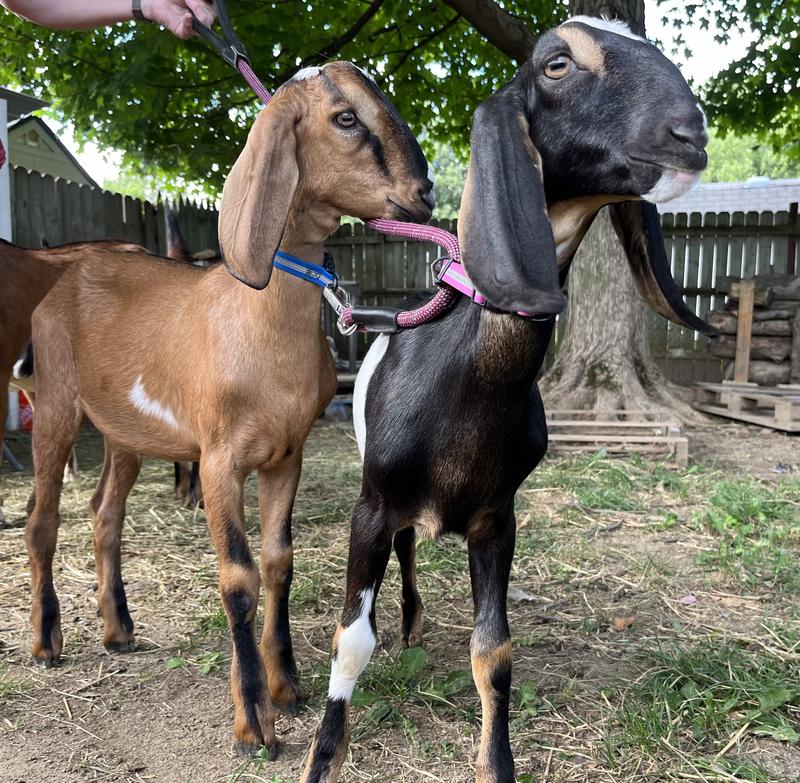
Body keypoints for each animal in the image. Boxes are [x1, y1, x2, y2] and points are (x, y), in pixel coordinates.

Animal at [25, 61, 433, 756]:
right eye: (345, 117)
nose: (425, 191)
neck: (259, 320)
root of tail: (66, 280)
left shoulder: (285, 456)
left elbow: (278, 562)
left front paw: (287, 685)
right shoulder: (219, 461)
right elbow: (239, 578)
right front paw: (253, 723)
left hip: (126, 434)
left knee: (105, 514)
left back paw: (118, 629)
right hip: (55, 405)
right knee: (42, 518)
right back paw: (46, 640)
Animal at [301, 18, 711, 783]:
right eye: (556, 63)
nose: (689, 133)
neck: (465, 390)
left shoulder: (498, 518)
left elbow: (493, 649)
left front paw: (496, 764)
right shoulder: (370, 506)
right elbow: (350, 640)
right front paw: (322, 757)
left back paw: (414, 623)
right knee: (405, 547)